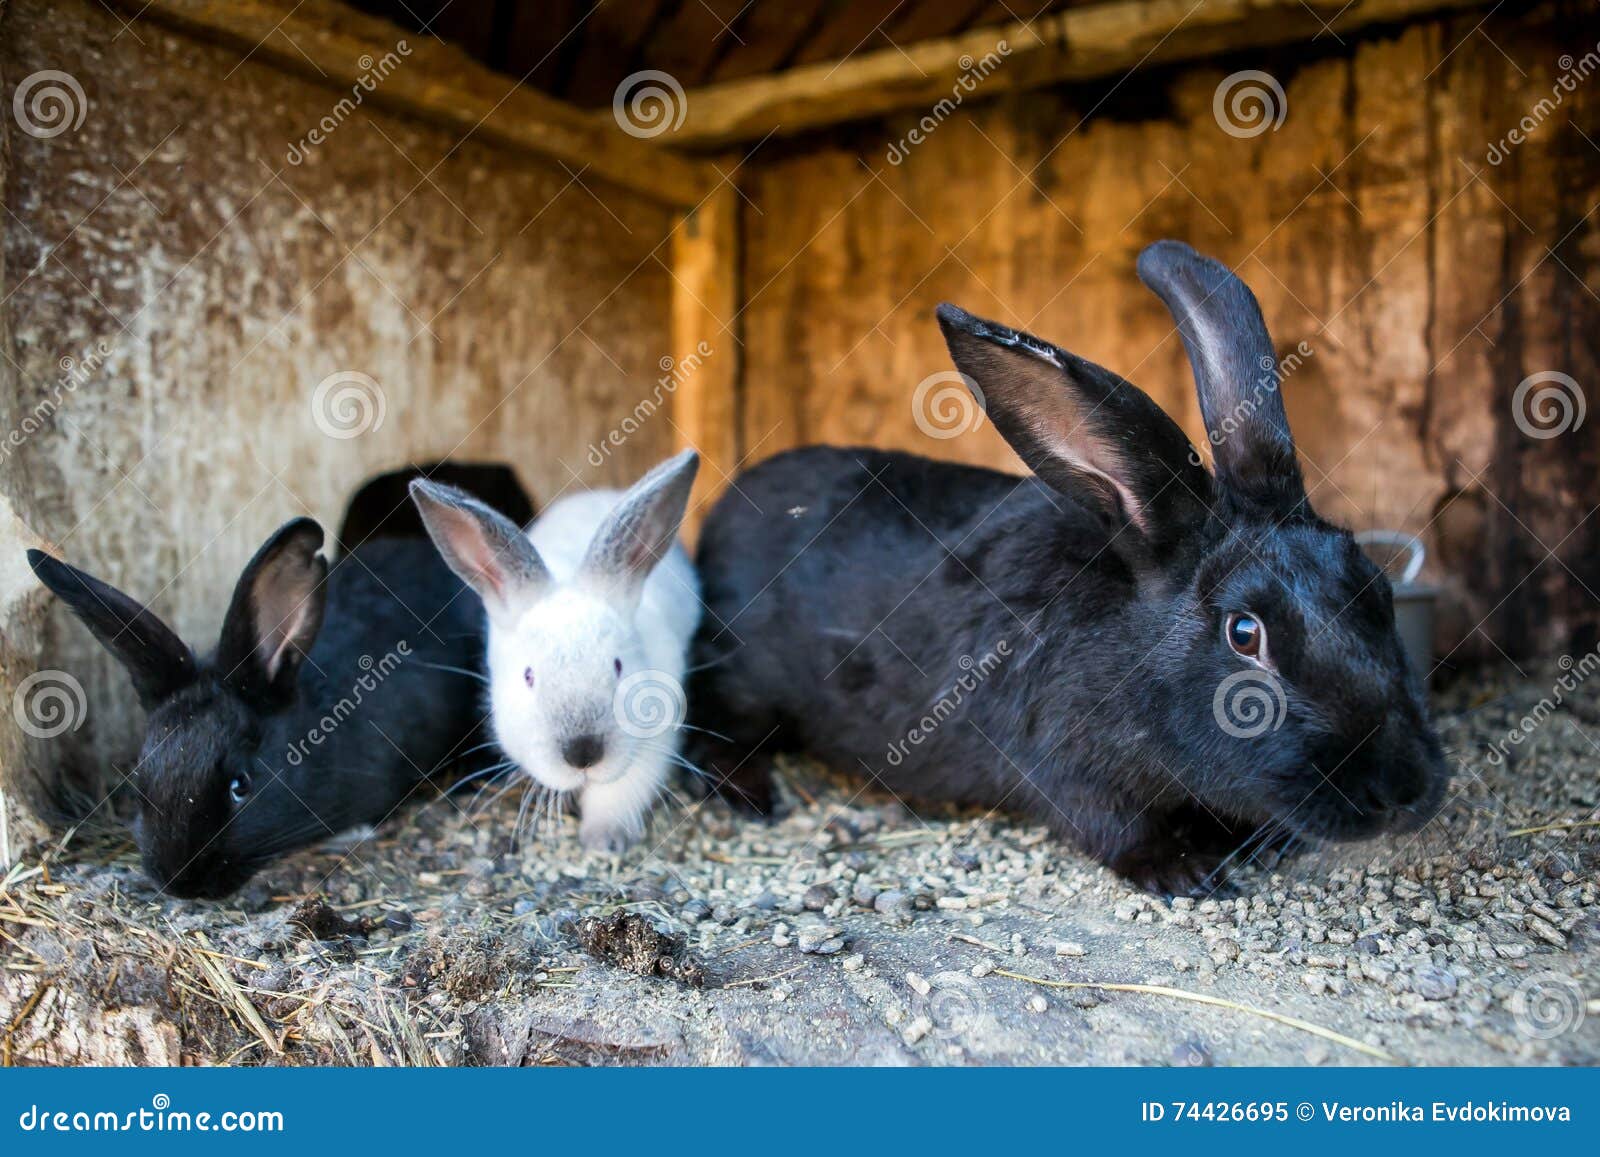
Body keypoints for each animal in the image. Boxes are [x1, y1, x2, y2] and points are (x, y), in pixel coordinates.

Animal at [409, 449, 701, 853]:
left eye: (618, 666)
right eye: (528, 676)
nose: (583, 753)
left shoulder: (655, 739)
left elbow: (618, 792)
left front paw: (603, 840)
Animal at [685, 240, 1449, 894]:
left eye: (1379, 592)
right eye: (1244, 633)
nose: (1406, 793)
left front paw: (1265, 841)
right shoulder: (1069, 767)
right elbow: (1114, 829)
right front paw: (1186, 871)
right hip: (744, 675)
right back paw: (750, 794)